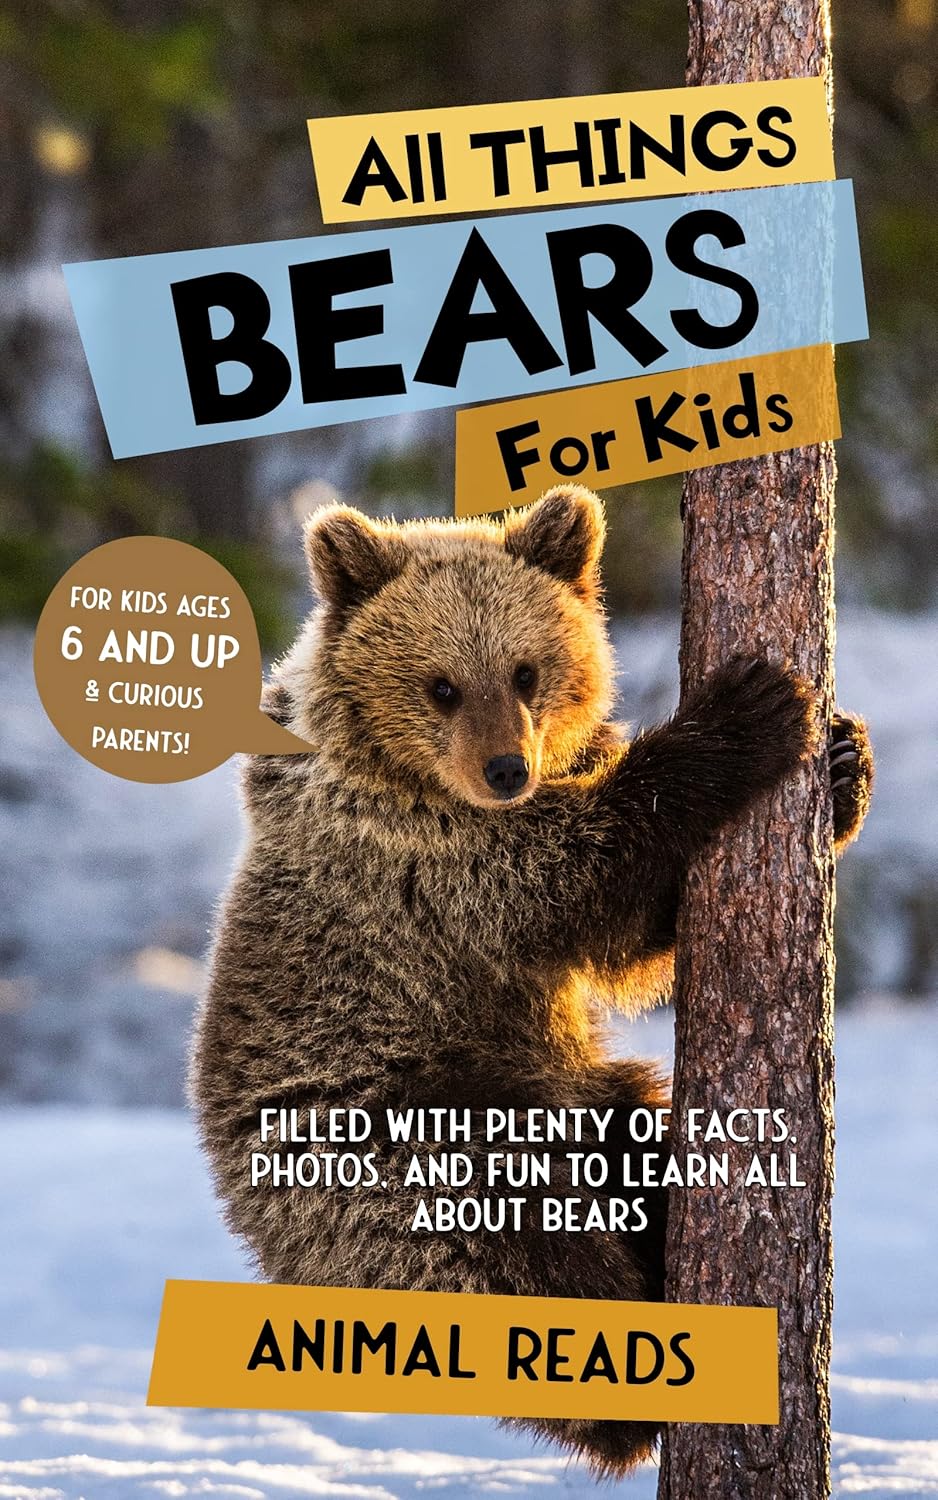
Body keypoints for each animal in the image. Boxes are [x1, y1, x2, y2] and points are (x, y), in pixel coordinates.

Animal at [191, 485, 872, 1477]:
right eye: (441, 684)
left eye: (527, 670)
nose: (506, 768)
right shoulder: (425, 862)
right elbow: (579, 875)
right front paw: (751, 711)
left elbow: (641, 931)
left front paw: (846, 758)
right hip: (401, 1141)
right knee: (524, 1247)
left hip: (562, 1090)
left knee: (633, 1129)